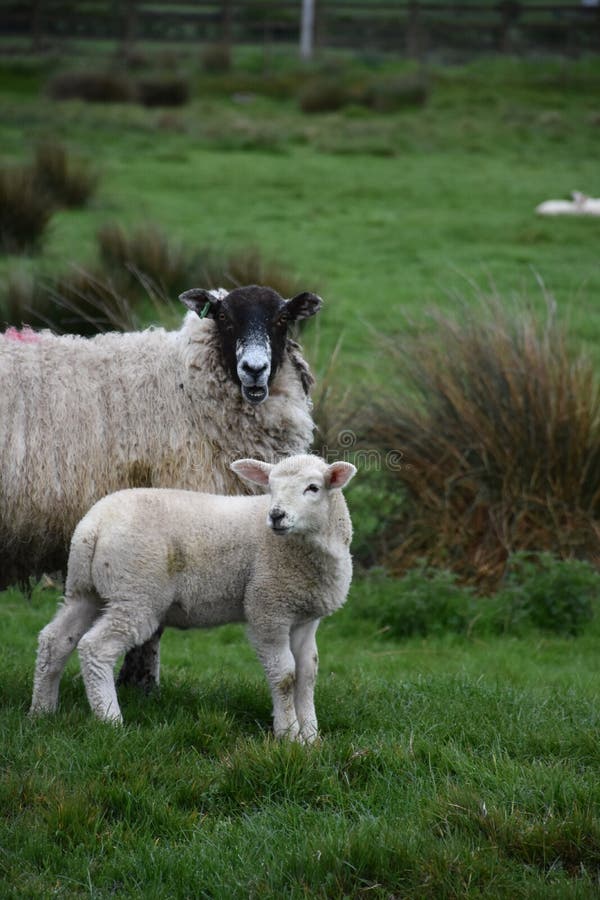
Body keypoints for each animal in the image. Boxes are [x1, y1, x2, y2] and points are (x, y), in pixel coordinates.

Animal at [30, 454, 356, 743]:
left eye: (313, 487)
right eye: (270, 488)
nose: (276, 516)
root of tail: (93, 527)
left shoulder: (305, 616)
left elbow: (308, 674)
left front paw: (311, 738)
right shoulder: (267, 608)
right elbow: (285, 676)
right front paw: (288, 736)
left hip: (86, 590)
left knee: (55, 640)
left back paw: (42, 711)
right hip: (136, 591)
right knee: (95, 647)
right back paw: (110, 719)